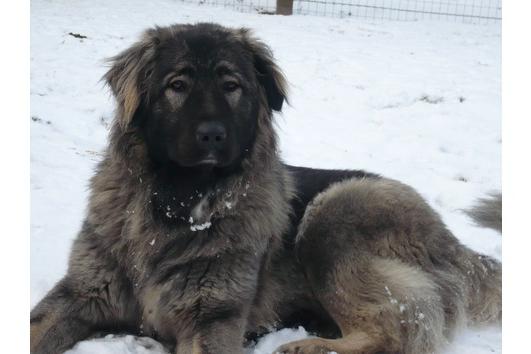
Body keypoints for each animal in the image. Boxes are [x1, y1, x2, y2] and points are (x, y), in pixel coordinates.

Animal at [30, 22, 502, 354]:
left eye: (231, 86)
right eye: (177, 85)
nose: (213, 135)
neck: (177, 204)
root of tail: (456, 245)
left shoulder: (212, 318)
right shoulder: (78, 293)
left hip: (332, 216)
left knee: (400, 330)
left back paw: (310, 347)